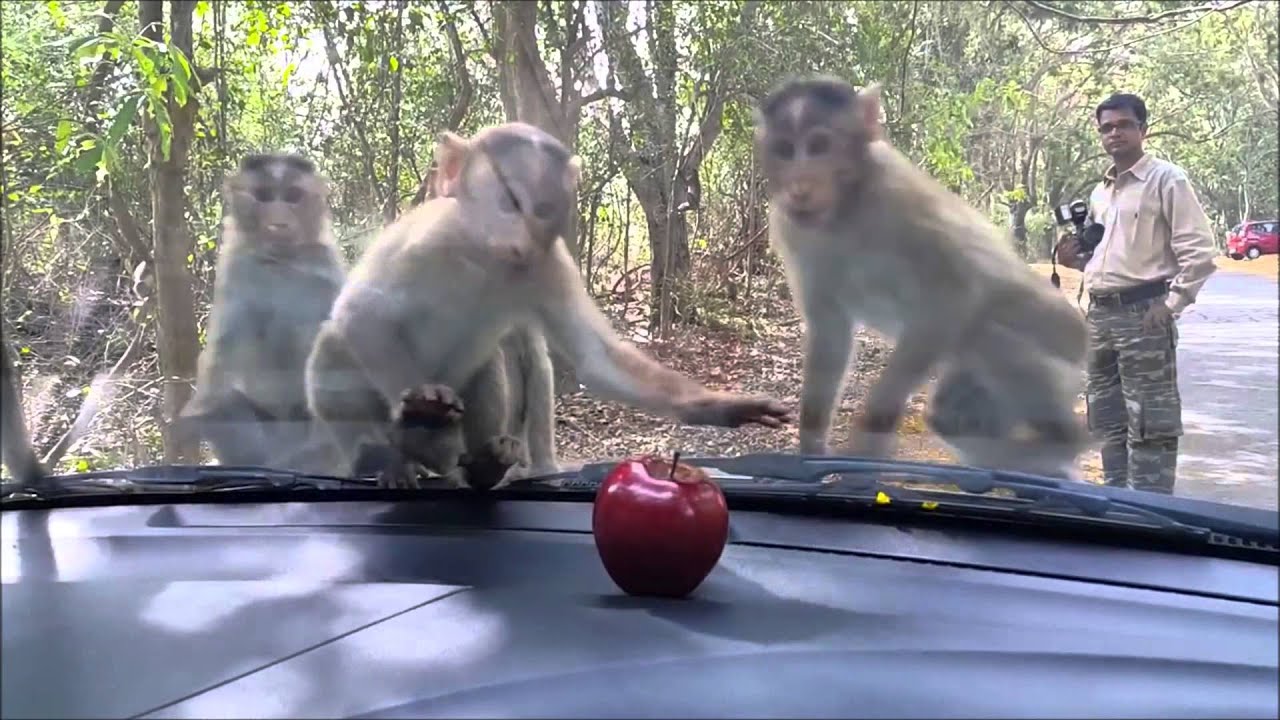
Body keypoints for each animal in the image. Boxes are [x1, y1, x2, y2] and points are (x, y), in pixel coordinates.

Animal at [176, 153, 347, 470]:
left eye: (292, 196)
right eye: (264, 196)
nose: (278, 222)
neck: (281, 262)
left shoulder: (325, 264)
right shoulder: (236, 266)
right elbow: (222, 350)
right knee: (226, 404)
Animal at [304, 121, 793, 490]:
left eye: (544, 210)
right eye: (511, 199)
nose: (521, 240)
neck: (486, 259)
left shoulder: (546, 262)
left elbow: (597, 359)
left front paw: (728, 407)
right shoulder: (431, 239)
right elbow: (360, 313)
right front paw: (423, 408)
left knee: (487, 363)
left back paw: (481, 466)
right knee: (335, 347)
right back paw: (393, 458)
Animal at [753, 76, 1089, 479]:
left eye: (819, 145)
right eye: (785, 150)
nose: (799, 186)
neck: (846, 207)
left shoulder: (899, 200)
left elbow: (952, 294)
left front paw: (870, 436)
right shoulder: (790, 227)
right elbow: (830, 330)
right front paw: (811, 448)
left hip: (1061, 344)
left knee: (986, 329)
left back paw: (1067, 439)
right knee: (951, 416)